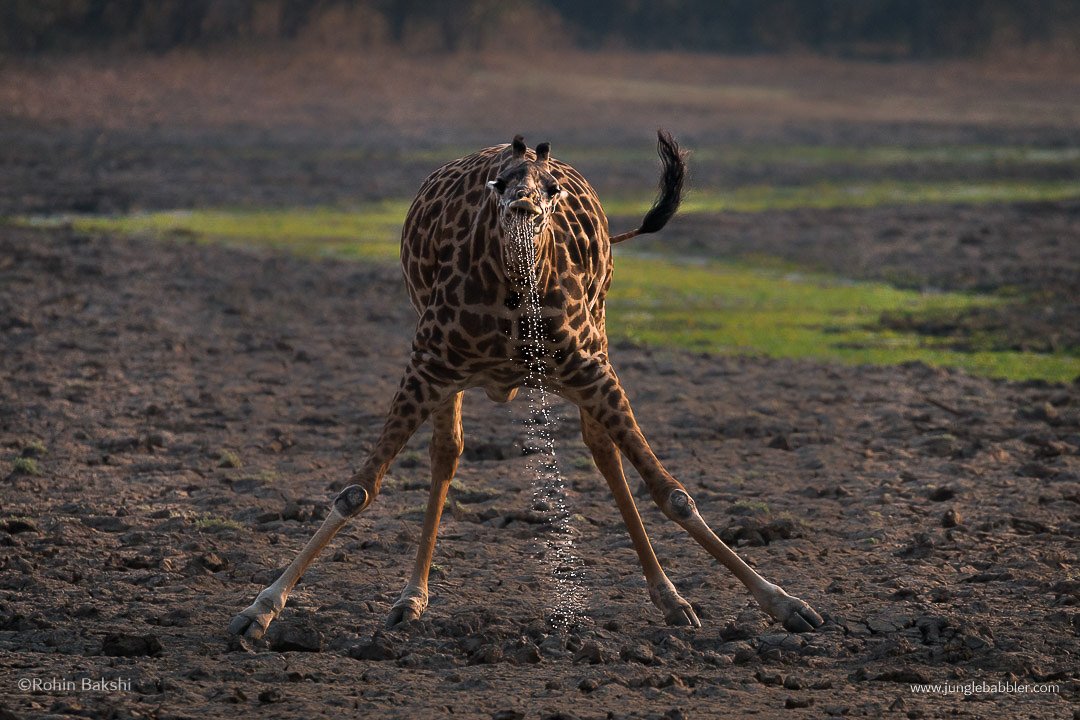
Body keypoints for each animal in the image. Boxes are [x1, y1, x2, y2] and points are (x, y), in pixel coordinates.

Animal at [228, 131, 824, 638]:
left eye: (550, 189)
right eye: (499, 183)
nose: (524, 207)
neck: (513, 295)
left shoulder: (589, 368)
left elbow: (671, 492)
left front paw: (787, 605)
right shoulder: (428, 364)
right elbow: (358, 490)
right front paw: (259, 610)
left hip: (597, 341)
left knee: (602, 450)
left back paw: (671, 599)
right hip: (451, 370)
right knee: (448, 452)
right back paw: (411, 598)